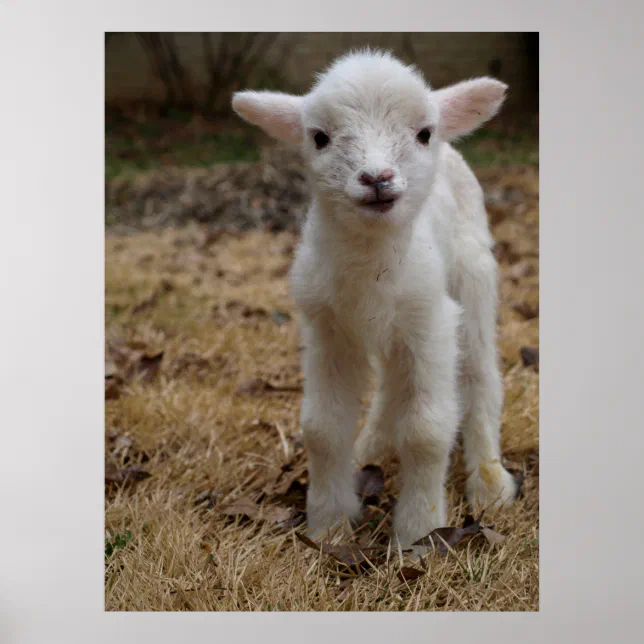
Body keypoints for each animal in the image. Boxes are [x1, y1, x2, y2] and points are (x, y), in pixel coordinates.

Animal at [232, 49, 518, 549]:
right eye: (319, 137)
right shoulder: (325, 328)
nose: (377, 178)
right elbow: (322, 427)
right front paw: (328, 524)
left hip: (473, 280)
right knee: (392, 380)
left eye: (423, 133)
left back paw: (489, 483)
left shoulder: (431, 321)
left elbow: (426, 430)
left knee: (480, 374)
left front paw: (419, 533)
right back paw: (373, 444)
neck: (372, 263)